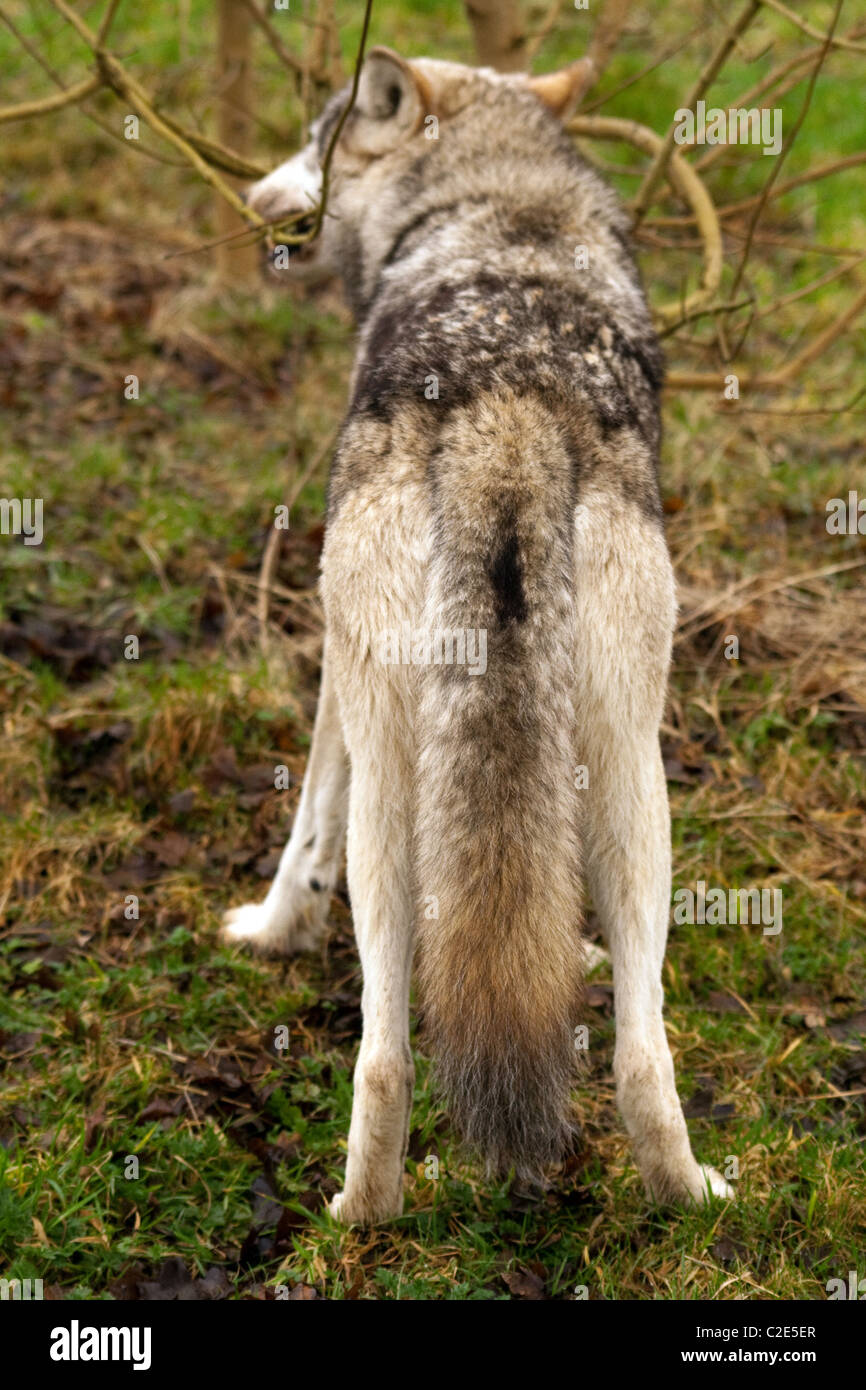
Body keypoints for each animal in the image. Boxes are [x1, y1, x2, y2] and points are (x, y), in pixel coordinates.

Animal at [223, 47, 733, 1223]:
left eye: (319, 139)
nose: (259, 196)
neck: (497, 210)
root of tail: (511, 406)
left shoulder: (337, 676)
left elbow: (302, 833)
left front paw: (269, 933)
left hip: (395, 793)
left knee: (383, 1051)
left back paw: (354, 1216)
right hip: (638, 774)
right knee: (641, 1054)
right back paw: (690, 1193)